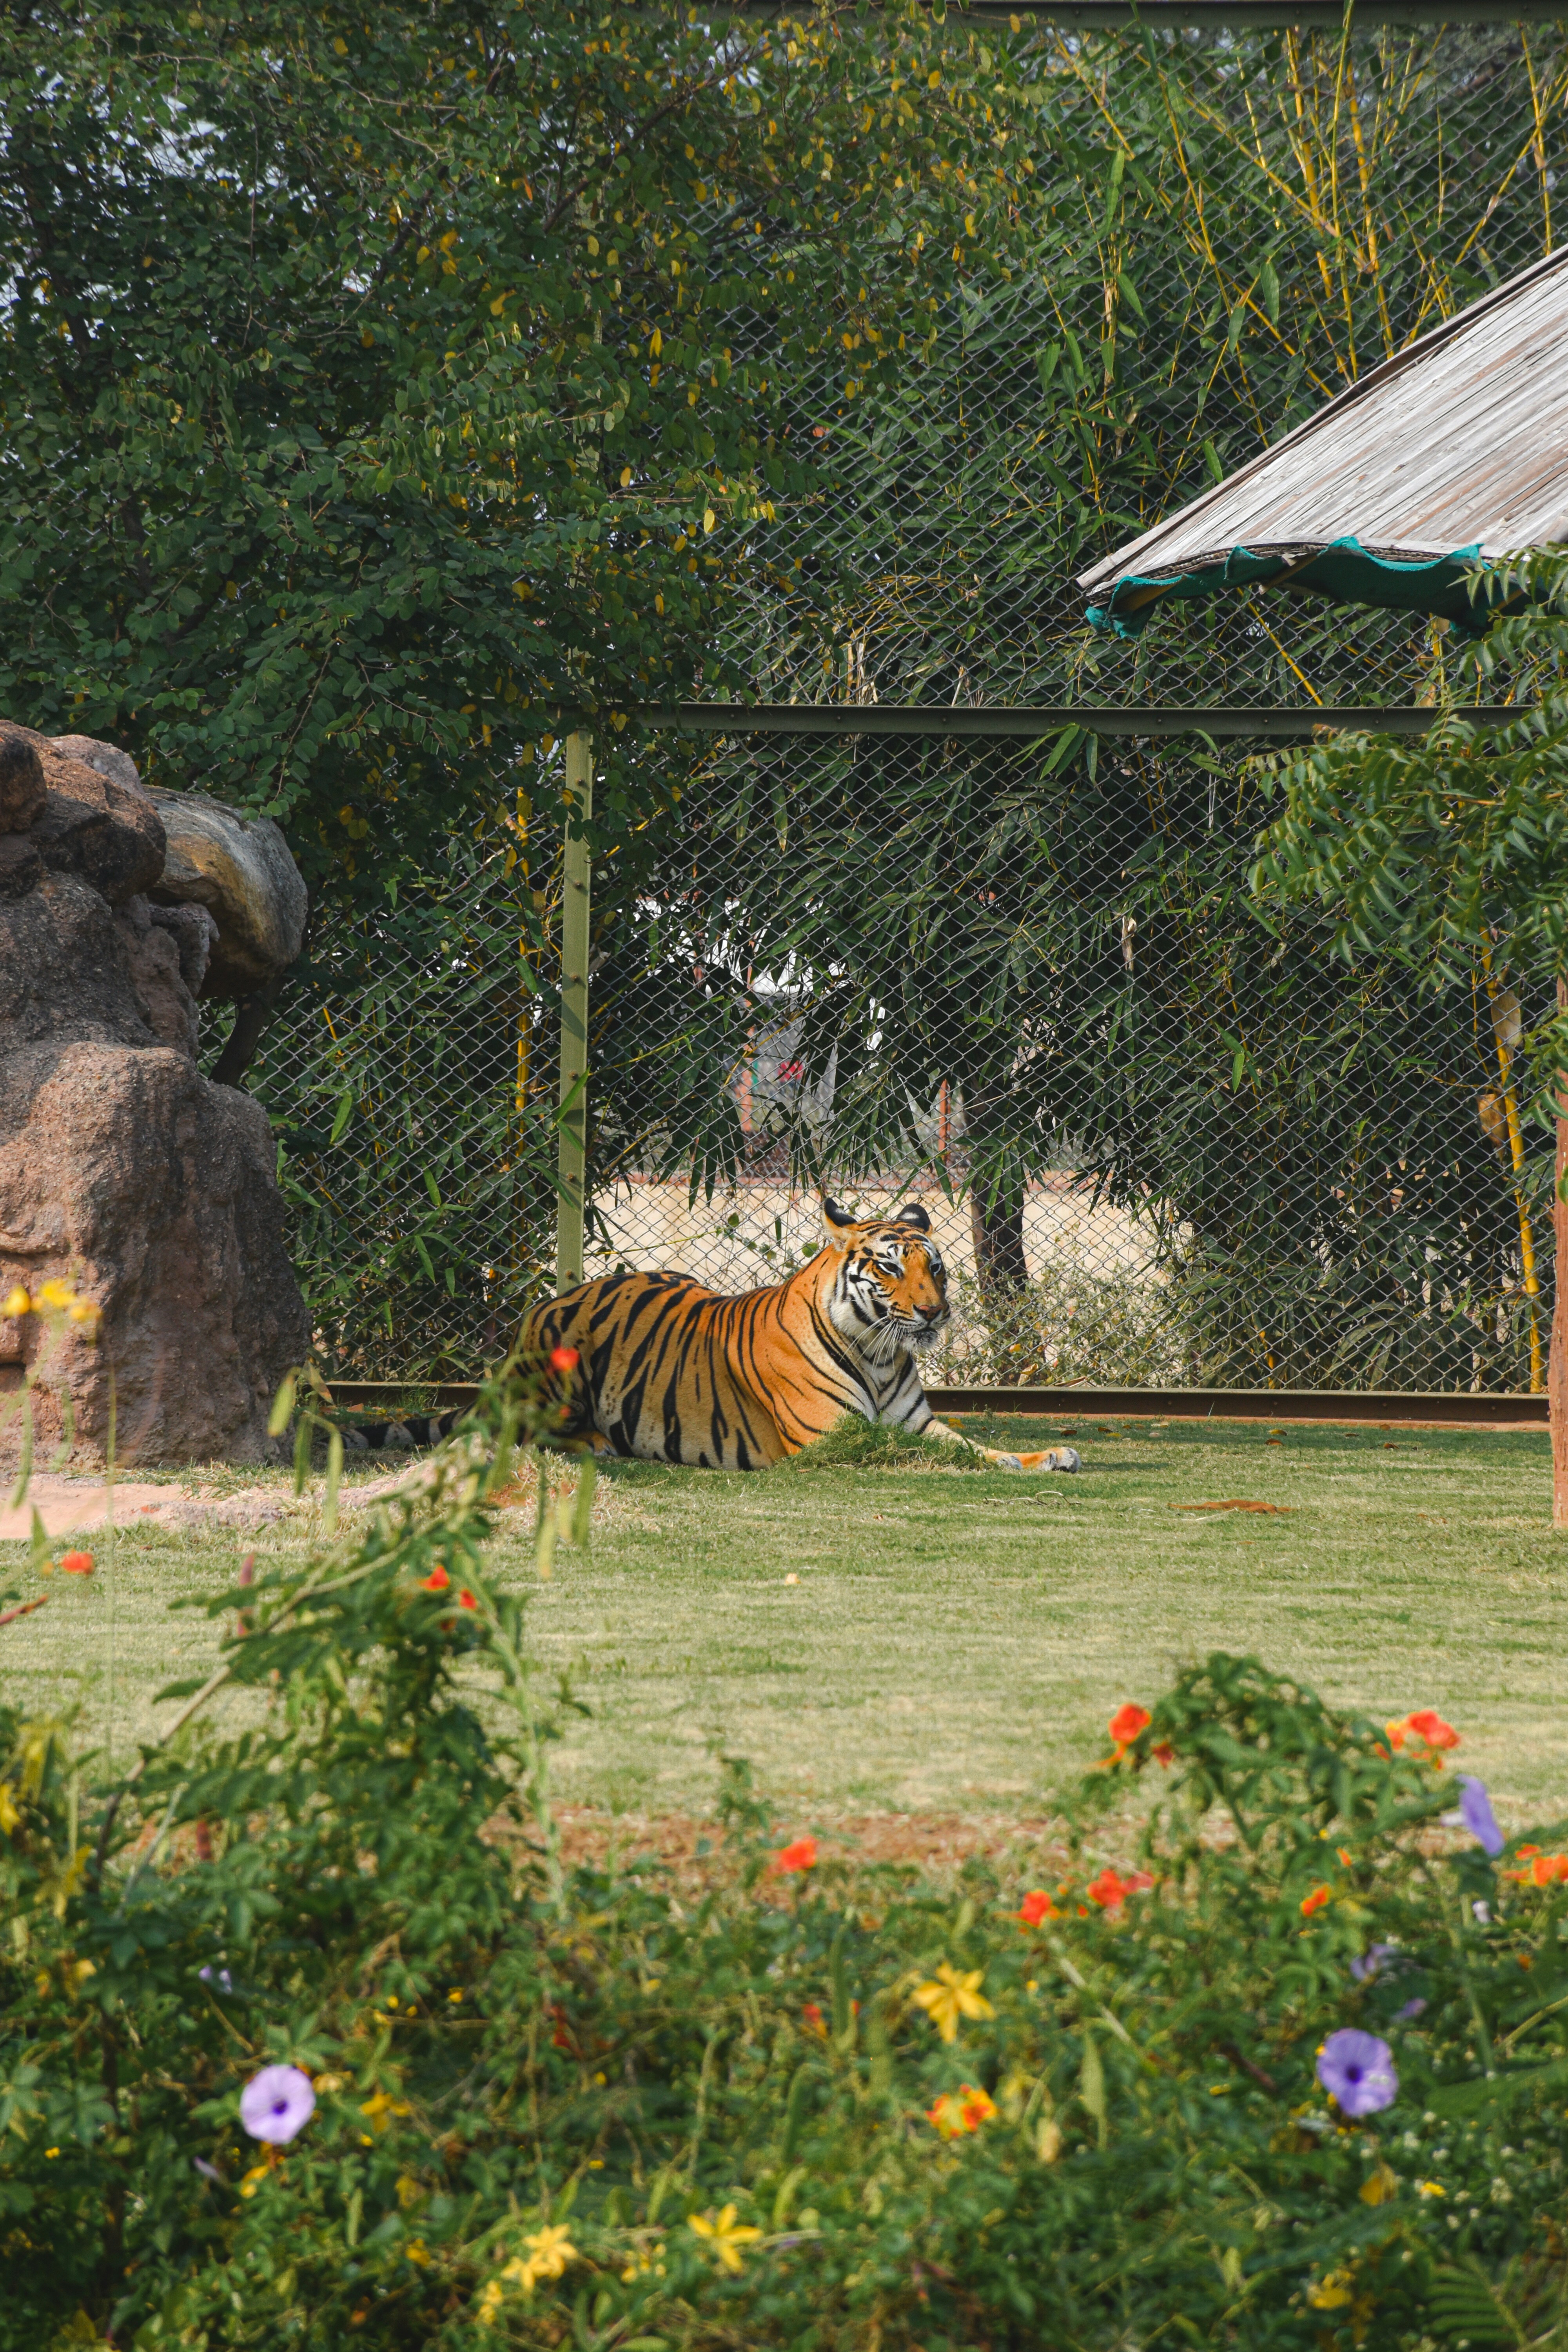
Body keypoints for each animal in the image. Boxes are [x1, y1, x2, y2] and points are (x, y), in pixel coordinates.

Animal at [515, 1196, 1076, 1473]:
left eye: (935, 1268)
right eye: (891, 1268)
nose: (934, 1312)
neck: (879, 1355)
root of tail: (551, 1302)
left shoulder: (915, 1424)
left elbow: (969, 1446)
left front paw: (1047, 1456)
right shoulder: (836, 1435)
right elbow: (931, 1455)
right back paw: (596, 1443)